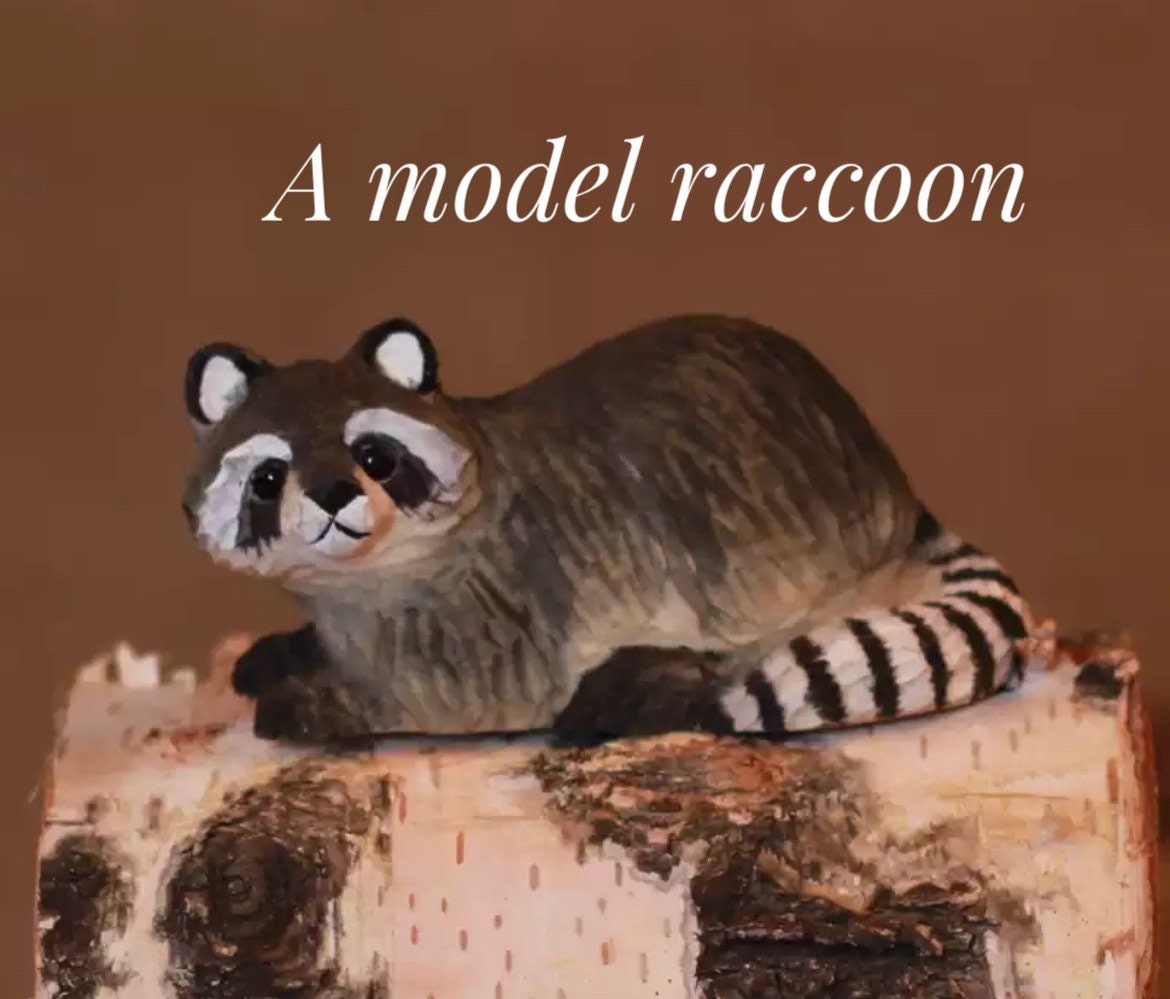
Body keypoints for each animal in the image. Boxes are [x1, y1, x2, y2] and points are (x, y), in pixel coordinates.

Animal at [181, 314, 1031, 744]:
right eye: (268, 478)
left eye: (374, 457)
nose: (331, 497)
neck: (365, 574)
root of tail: (893, 487)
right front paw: (301, 652)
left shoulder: (499, 592)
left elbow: (458, 698)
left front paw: (338, 701)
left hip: (762, 537)